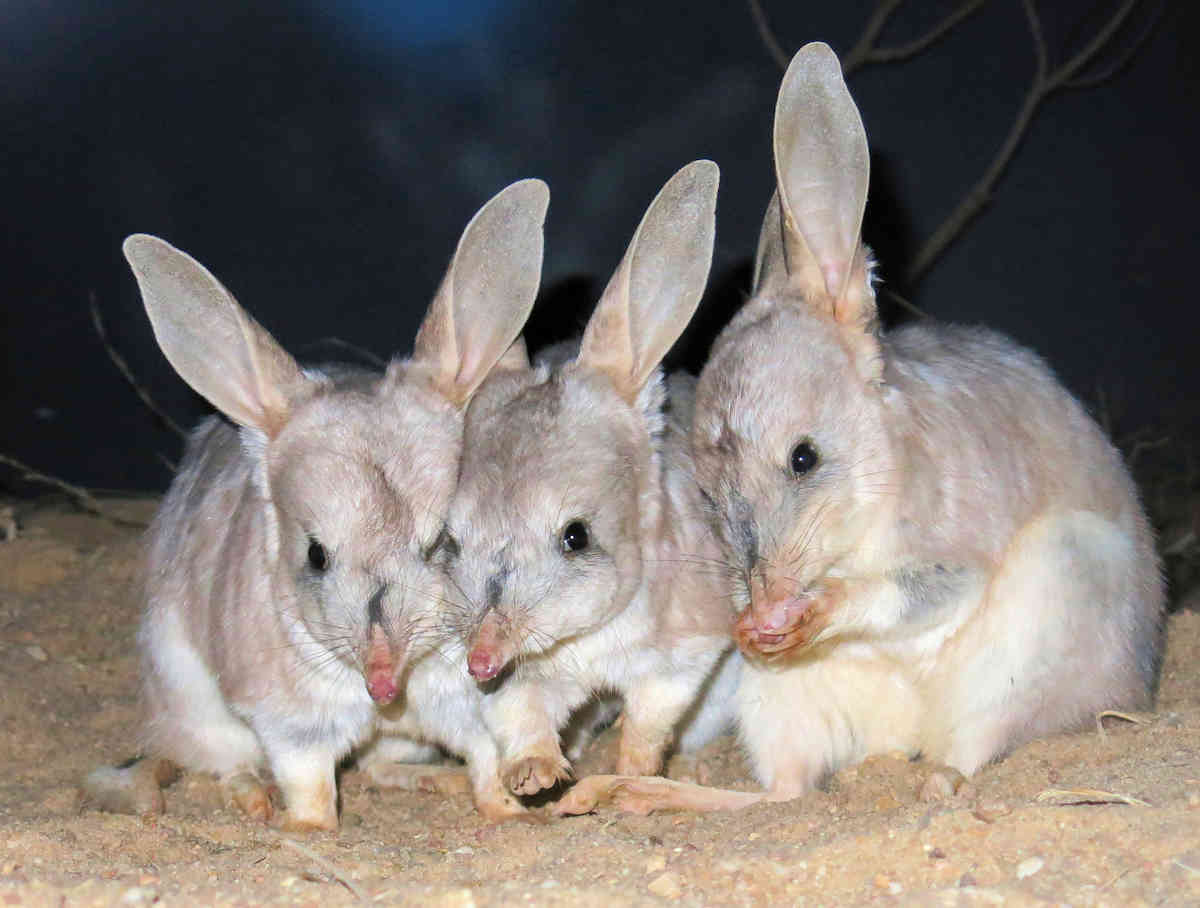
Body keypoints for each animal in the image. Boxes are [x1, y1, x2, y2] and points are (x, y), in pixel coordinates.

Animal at [83, 179, 549, 829]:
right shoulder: (290, 720)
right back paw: (253, 799)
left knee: (379, 766)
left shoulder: (471, 699)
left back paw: (433, 779)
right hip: (195, 710)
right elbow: (310, 786)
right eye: (315, 555)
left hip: (400, 738)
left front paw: (510, 812)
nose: (382, 687)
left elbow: (488, 760)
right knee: (227, 763)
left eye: (441, 544)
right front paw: (306, 828)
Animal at [435, 160, 739, 799]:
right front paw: (534, 776)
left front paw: (632, 773)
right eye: (451, 540)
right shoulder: (520, 680)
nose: (479, 662)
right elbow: (519, 715)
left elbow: (648, 721)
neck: (586, 638)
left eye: (577, 536)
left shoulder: (683, 653)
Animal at [556, 43, 1164, 816]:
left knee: (968, 748)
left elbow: (902, 591)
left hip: (1048, 606)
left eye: (805, 458)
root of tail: (898, 739)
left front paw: (807, 611)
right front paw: (753, 627)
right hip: (783, 704)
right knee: (784, 795)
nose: (769, 601)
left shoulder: (952, 549)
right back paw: (625, 791)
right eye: (705, 494)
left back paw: (937, 782)